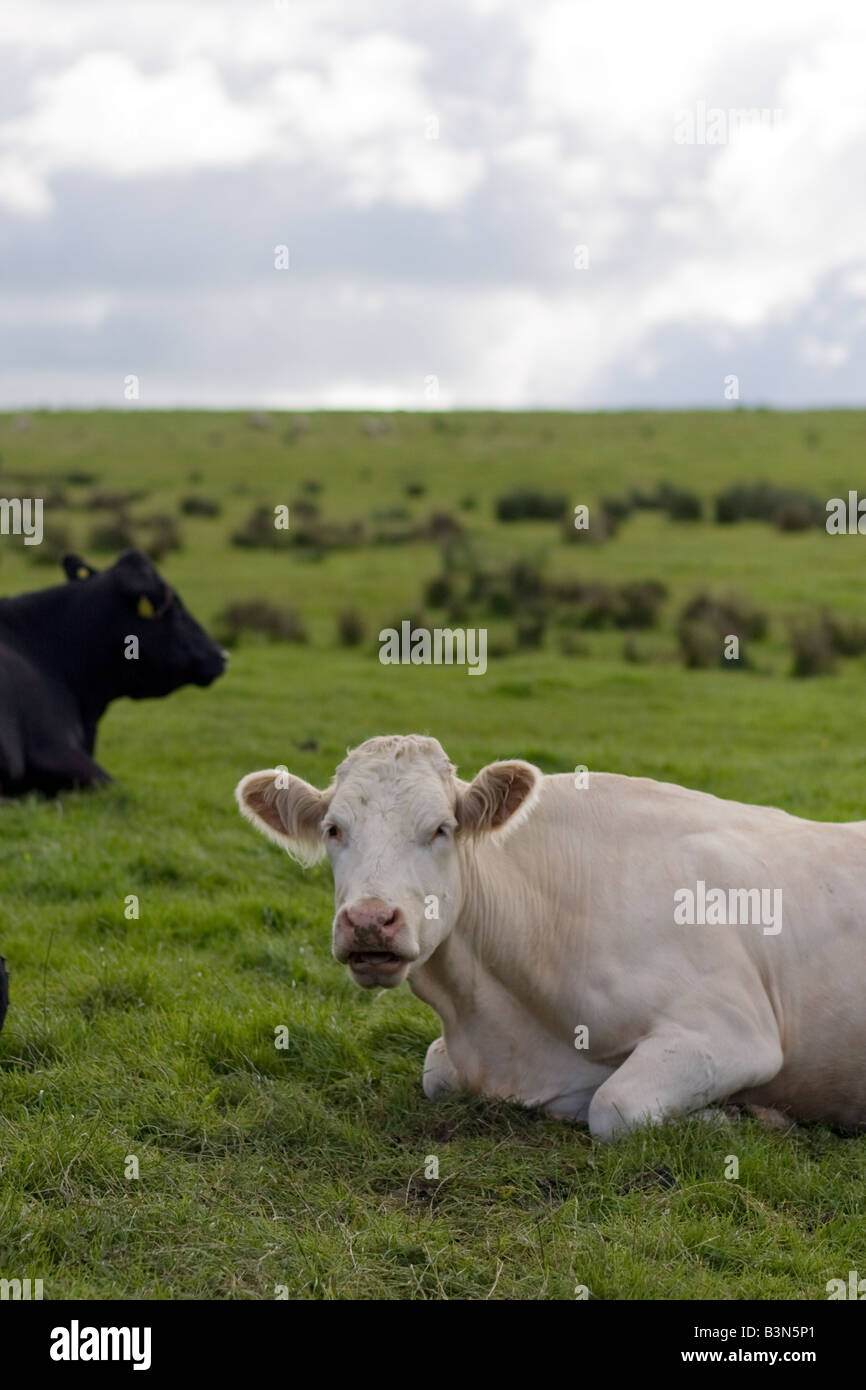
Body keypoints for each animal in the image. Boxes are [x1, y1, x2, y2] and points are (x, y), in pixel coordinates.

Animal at [236, 733, 866, 1141]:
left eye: (441, 828)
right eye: (333, 829)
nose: (369, 920)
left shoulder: (731, 1031)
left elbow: (614, 1108)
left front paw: (737, 1116)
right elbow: (436, 1072)